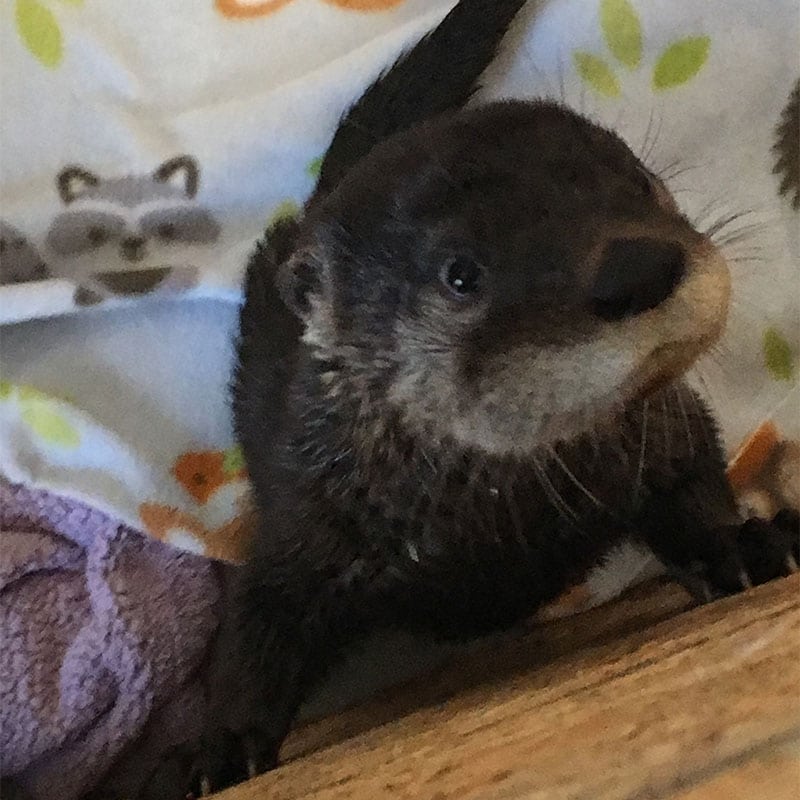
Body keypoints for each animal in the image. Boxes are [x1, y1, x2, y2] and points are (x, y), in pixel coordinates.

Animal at [130, 0, 798, 796]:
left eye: (639, 182)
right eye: (460, 273)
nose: (640, 267)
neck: (490, 516)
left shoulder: (662, 434)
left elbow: (695, 481)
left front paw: (739, 544)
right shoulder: (306, 518)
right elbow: (257, 627)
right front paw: (218, 749)